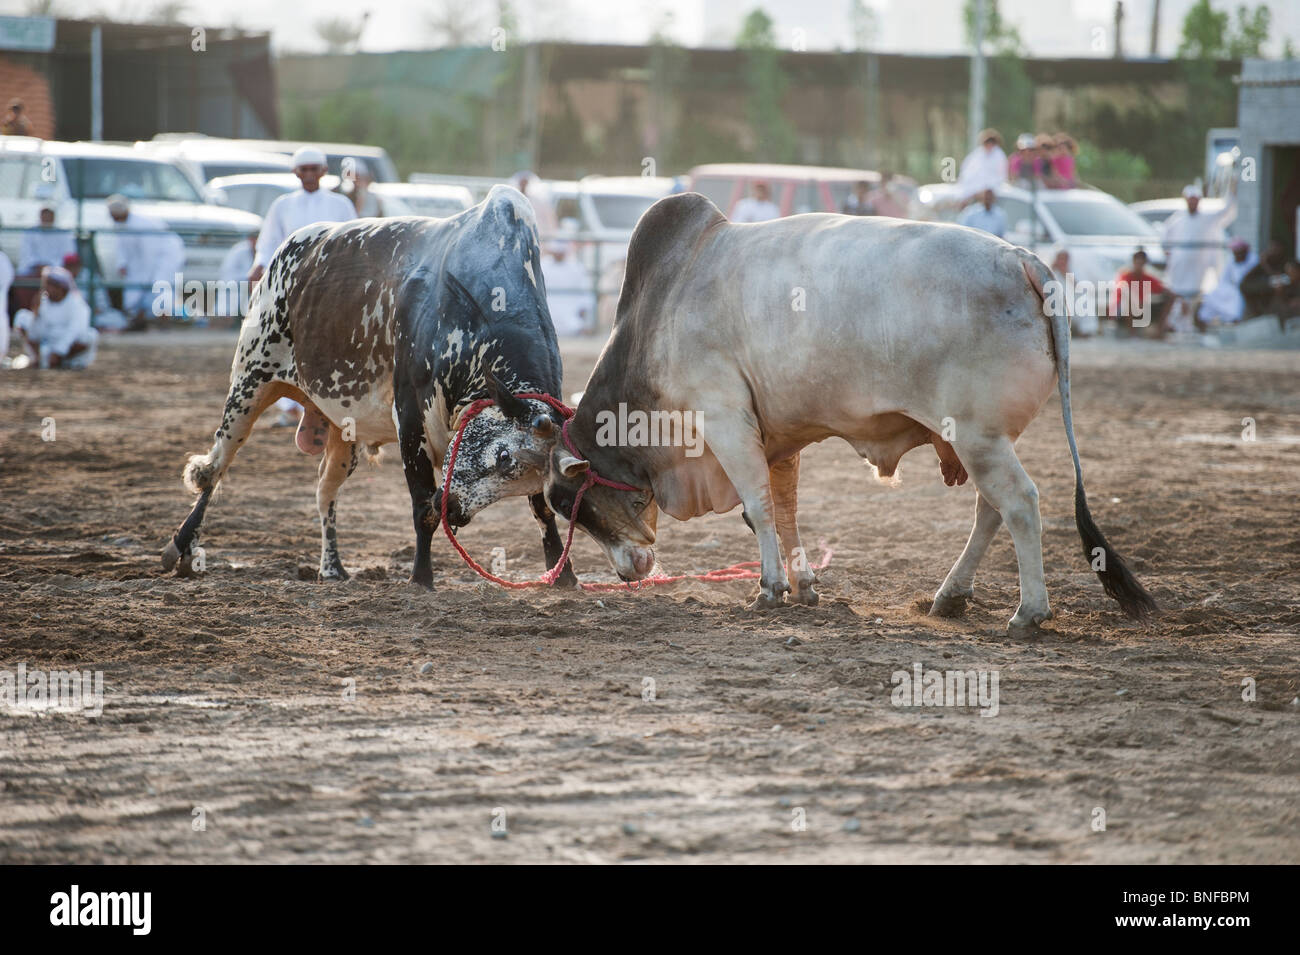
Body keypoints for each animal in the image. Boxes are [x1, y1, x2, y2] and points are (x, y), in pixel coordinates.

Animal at [162, 185, 576, 588]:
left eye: (527, 471)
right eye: (503, 457)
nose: (453, 508)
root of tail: (288, 250)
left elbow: (542, 510)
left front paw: (563, 574)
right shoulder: (411, 422)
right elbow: (422, 510)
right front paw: (420, 577)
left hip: (340, 431)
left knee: (324, 491)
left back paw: (331, 568)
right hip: (250, 382)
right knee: (215, 467)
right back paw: (181, 548)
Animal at [542, 193, 1156, 633]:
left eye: (573, 503)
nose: (628, 573)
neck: (660, 312)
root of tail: (1024, 260)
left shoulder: (723, 418)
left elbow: (757, 505)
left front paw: (769, 589)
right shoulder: (777, 436)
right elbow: (782, 510)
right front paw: (804, 586)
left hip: (979, 435)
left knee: (1021, 504)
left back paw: (1028, 613)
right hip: (985, 439)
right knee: (991, 509)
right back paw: (950, 597)